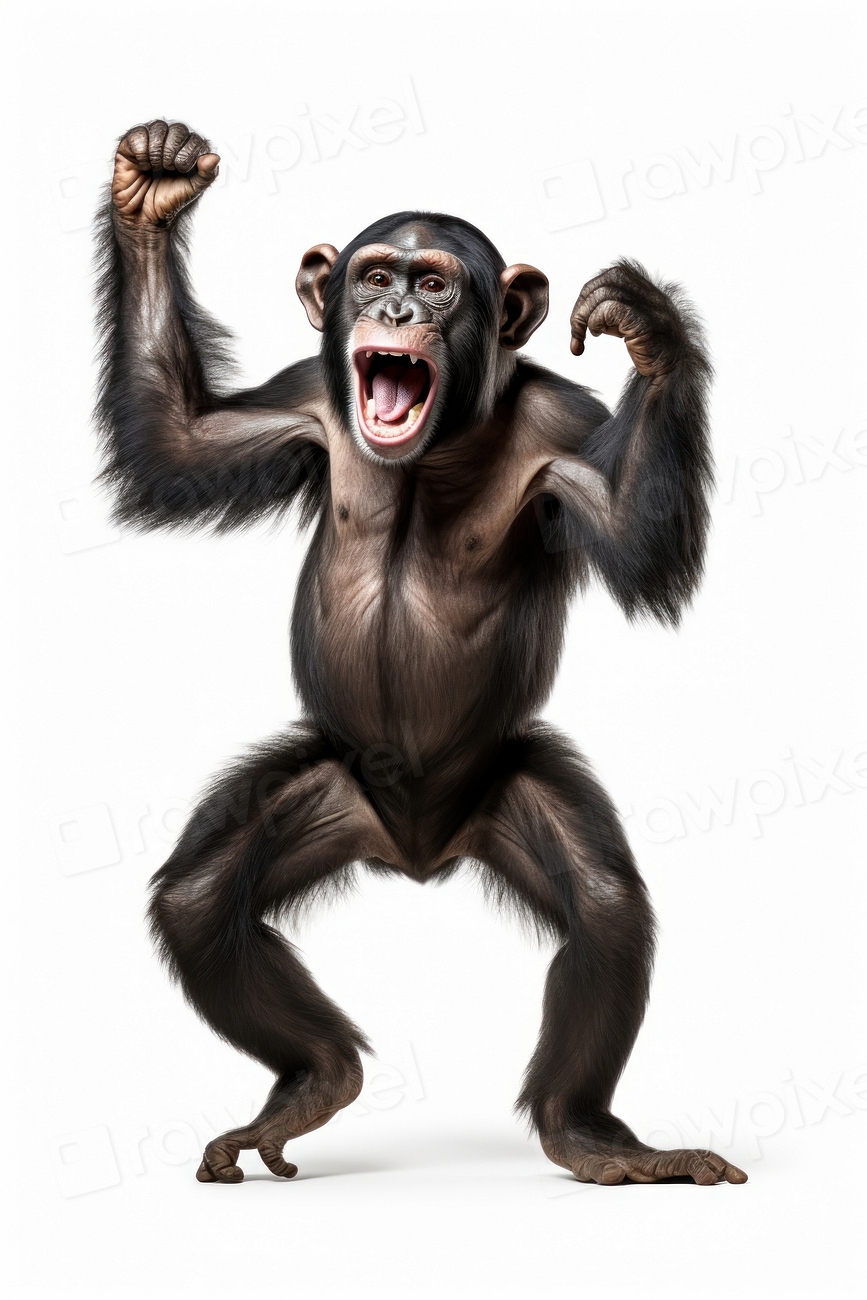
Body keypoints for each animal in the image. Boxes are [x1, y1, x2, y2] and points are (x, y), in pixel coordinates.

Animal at [94, 119, 747, 1187]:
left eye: (436, 284)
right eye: (372, 278)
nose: (396, 308)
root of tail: (415, 854)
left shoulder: (565, 429)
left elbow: (636, 540)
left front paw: (650, 332)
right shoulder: (304, 400)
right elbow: (178, 440)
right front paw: (151, 187)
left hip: (502, 785)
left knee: (604, 909)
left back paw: (592, 1139)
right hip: (332, 786)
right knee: (197, 902)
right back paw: (313, 1080)